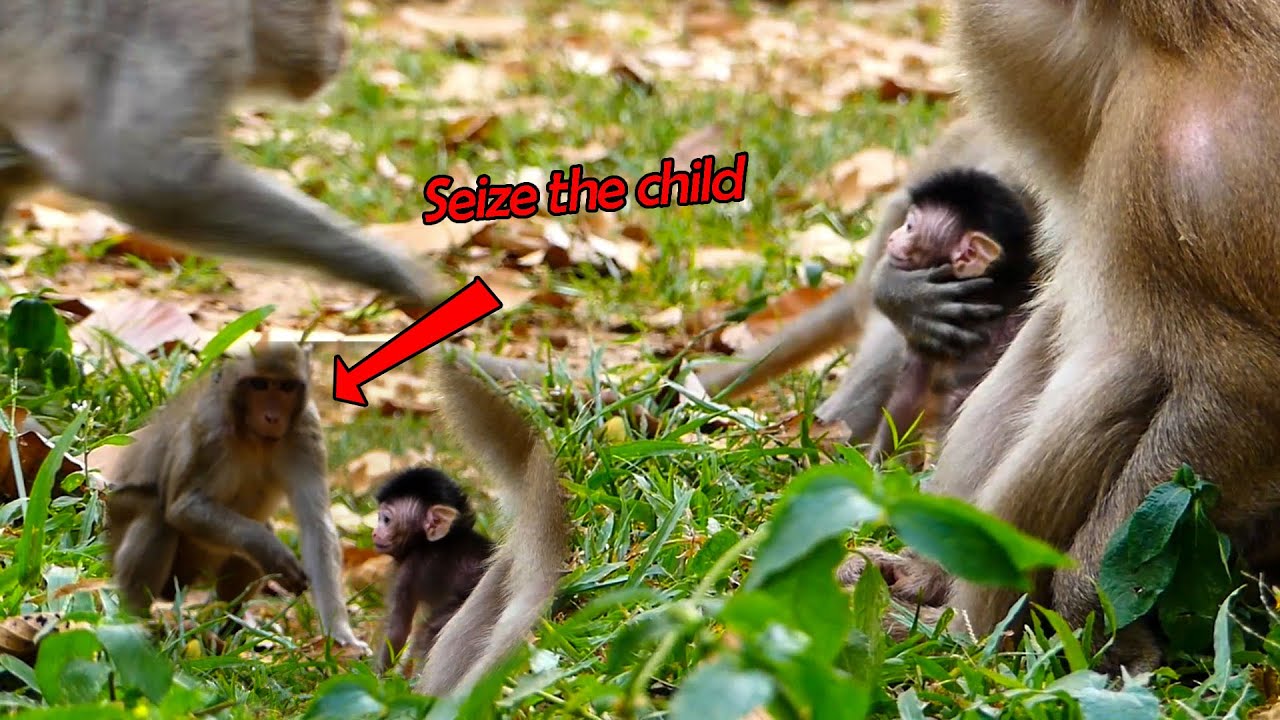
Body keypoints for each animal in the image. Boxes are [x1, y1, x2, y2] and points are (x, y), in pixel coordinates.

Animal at [105, 342, 367, 652]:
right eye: (259, 384)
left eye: (286, 386)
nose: (272, 417)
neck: (253, 437)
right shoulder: (209, 431)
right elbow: (184, 508)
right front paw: (269, 549)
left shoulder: (306, 430)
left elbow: (315, 524)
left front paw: (341, 634)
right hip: (119, 520)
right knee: (156, 516)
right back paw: (136, 621)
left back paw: (228, 628)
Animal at [370, 466, 493, 677]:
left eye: (386, 519)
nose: (375, 533)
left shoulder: (408, 570)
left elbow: (398, 631)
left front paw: (380, 680)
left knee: (428, 631)